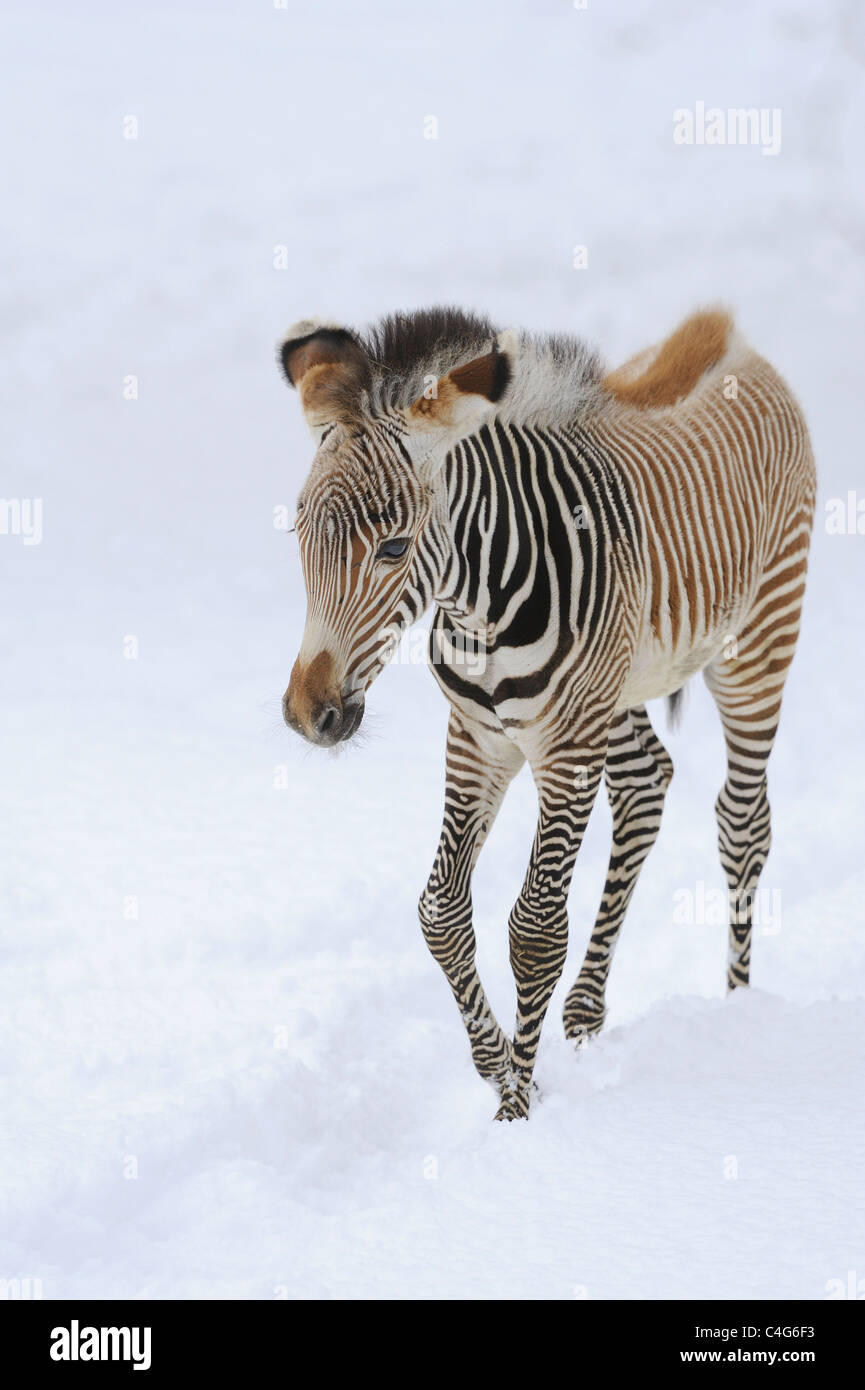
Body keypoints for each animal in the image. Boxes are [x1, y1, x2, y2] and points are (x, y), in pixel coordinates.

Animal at [278, 306, 816, 1121]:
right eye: (298, 535)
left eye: (393, 547)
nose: (312, 714)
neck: (478, 605)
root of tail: (726, 336)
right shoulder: (476, 740)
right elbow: (440, 912)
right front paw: (494, 1064)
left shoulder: (562, 751)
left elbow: (534, 928)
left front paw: (517, 1108)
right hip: (613, 696)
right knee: (646, 784)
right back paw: (586, 1014)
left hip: (756, 640)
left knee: (744, 822)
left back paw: (737, 1006)